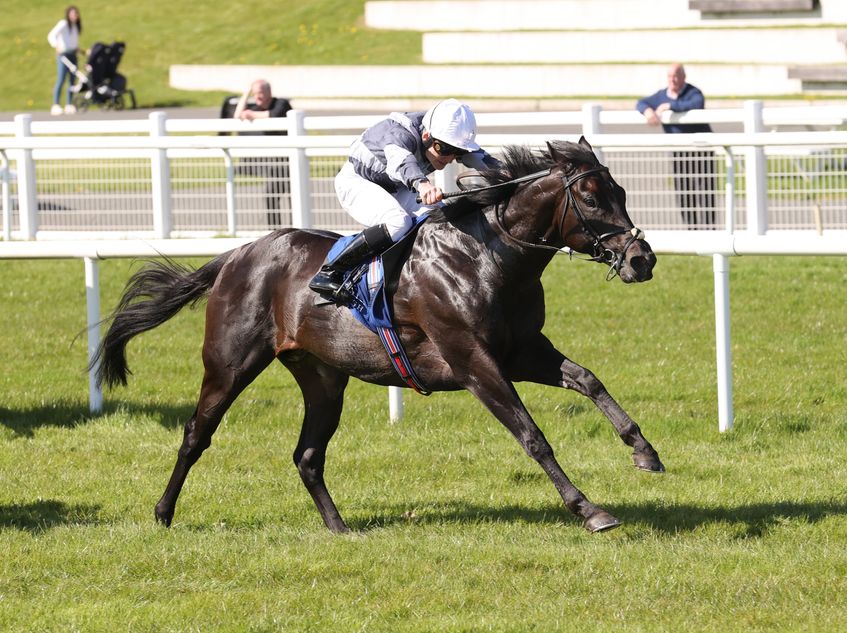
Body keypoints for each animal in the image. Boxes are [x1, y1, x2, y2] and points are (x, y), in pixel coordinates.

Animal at [94, 137, 664, 534]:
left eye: (621, 191)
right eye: (590, 198)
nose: (643, 260)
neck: (485, 257)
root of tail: (236, 254)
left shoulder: (522, 351)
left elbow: (588, 379)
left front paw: (644, 451)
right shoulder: (474, 362)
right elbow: (532, 435)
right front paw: (589, 509)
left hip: (323, 378)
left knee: (307, 456)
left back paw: (339, 526)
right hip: (229, 365)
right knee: (196, 434)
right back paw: (163, 513)